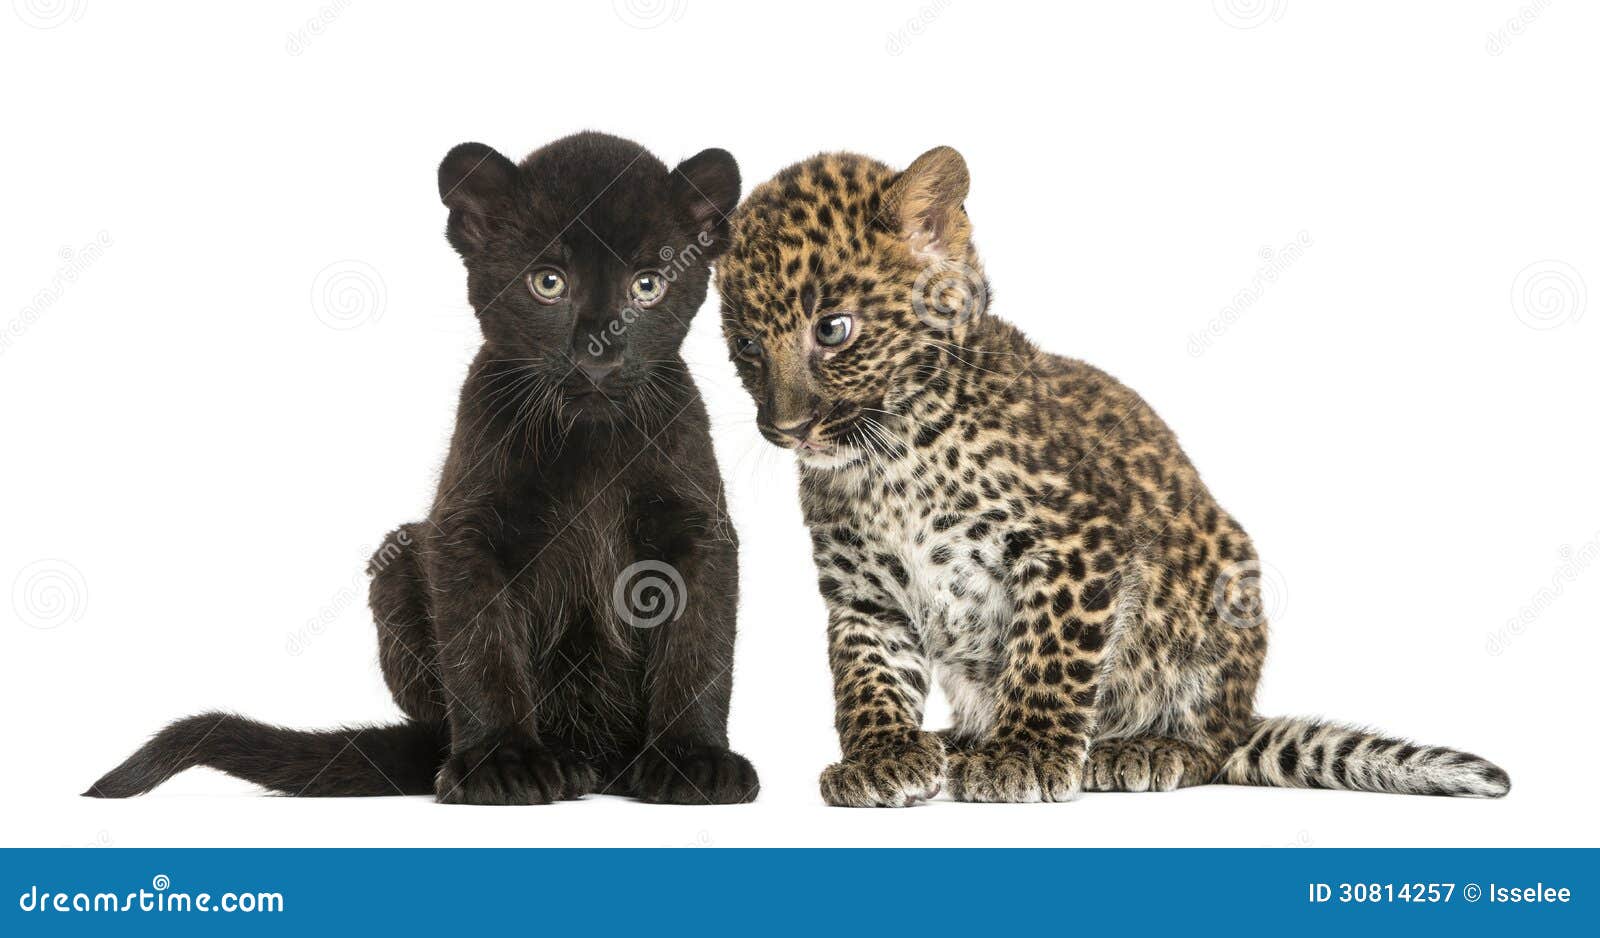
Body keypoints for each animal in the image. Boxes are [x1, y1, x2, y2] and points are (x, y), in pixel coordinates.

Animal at [716, 146, 1510, 806]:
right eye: (747, 345)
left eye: (833, 330)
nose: (783, 428)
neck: (893, 455)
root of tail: (1244, 716)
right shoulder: (864, 589)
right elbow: (868, 673)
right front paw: (882, 755)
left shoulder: (1076, 541)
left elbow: (1049, 654)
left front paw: (1026, 754)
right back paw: (954, 742)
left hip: (1226, 588)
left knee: (1208, 742)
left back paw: (1140, 748)